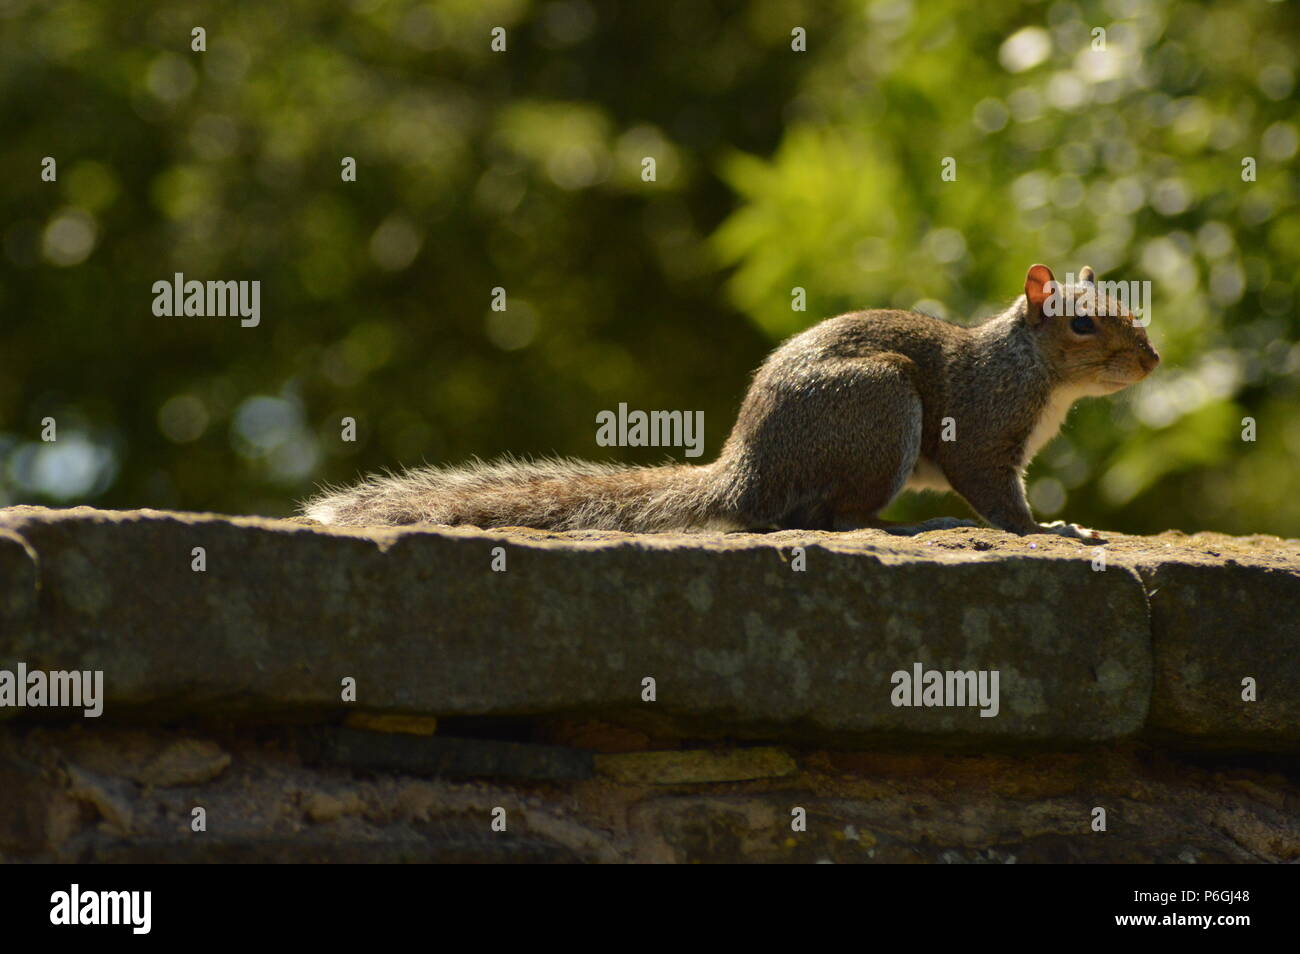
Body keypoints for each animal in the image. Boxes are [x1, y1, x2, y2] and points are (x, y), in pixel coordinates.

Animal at [300, 264, 1158, 536]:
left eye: (1124, 300)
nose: (1151, 358)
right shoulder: (981, 430)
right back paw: (903, 524)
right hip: (881, 405)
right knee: (828, 516)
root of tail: (747, 470)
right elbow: (995, 495)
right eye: (1083, 322)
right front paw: (1049, 531)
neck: (1035, 372)